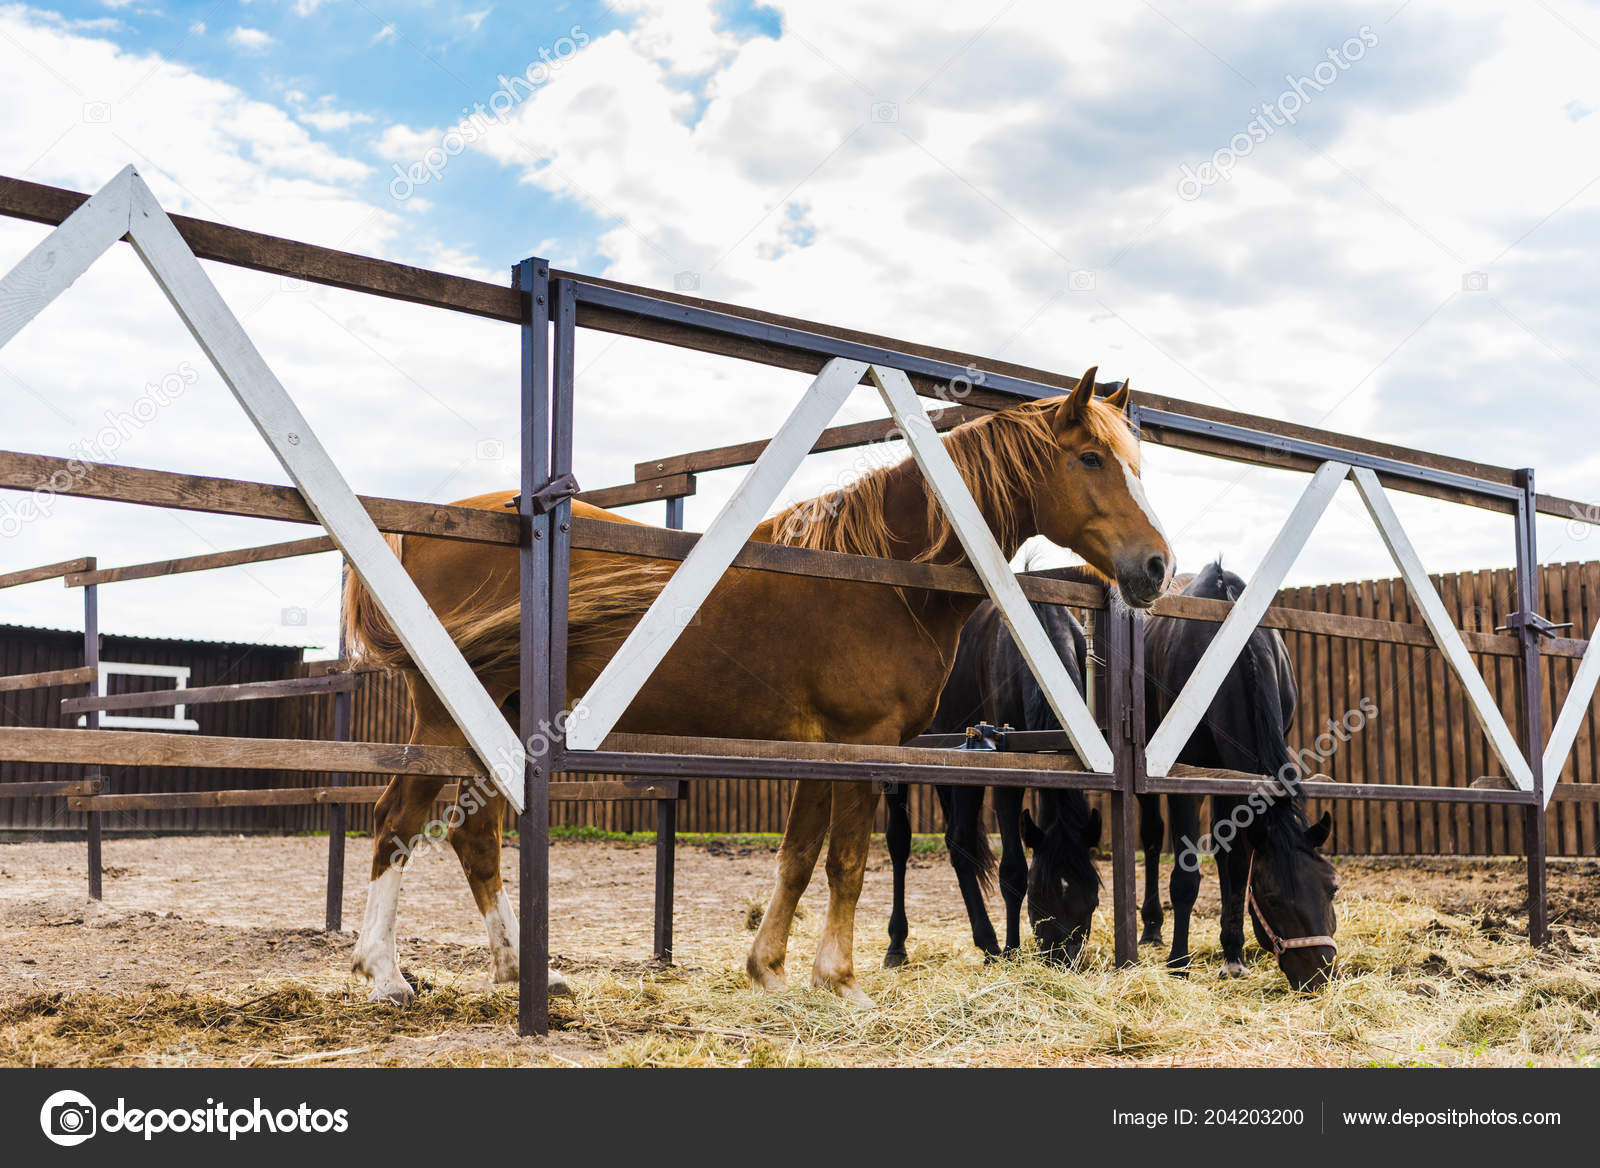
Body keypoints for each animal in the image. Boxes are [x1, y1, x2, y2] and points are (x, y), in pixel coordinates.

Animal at [883, 568, 1103, 969]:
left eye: (1092, 900)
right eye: (1040, 898)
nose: (1063, 962)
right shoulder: (1006, 780)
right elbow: (1013, 870)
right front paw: (1012, 950)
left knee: (958, 841)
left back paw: (985, 941)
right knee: (900, 841)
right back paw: (898, 943)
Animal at [1138, 561, 1338, 989]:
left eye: (1332, 887)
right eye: (1273, 897)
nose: (1320, 974)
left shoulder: (1237, 776)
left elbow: (1236, 858)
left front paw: (1233, 953)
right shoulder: (1185, 779)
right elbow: (1186, 875)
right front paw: (1179, 961)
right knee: (1150, 836)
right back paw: (1151, 928)